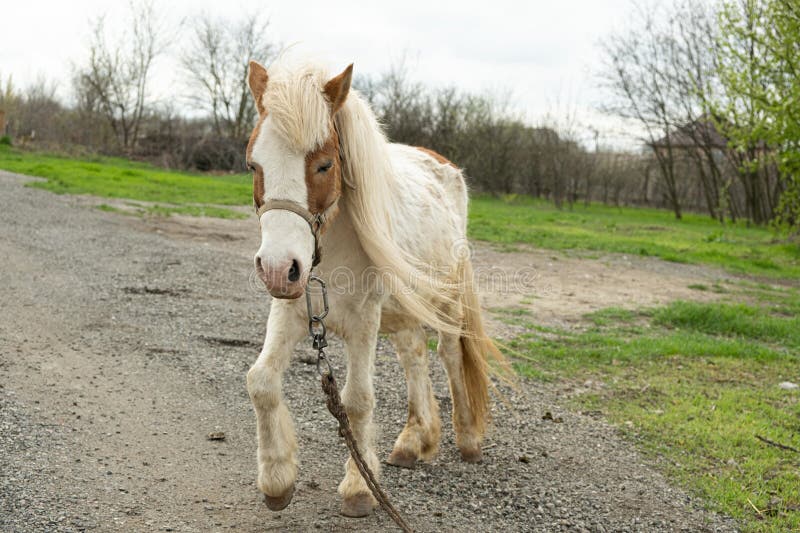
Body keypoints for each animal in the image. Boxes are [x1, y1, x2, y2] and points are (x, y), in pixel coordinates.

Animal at [244, 57, 508, 518]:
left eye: (325, 165)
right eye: (254, 165)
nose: (278, 268)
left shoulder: (364, 321)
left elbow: (357, 400)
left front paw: (358, 489)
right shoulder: (291, 308)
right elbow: (261, 380)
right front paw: (277, 479)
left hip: (446, 304)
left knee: (450, 355)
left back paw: (468, 439)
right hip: (403, 312)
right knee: (414, 355)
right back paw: (413, 441)